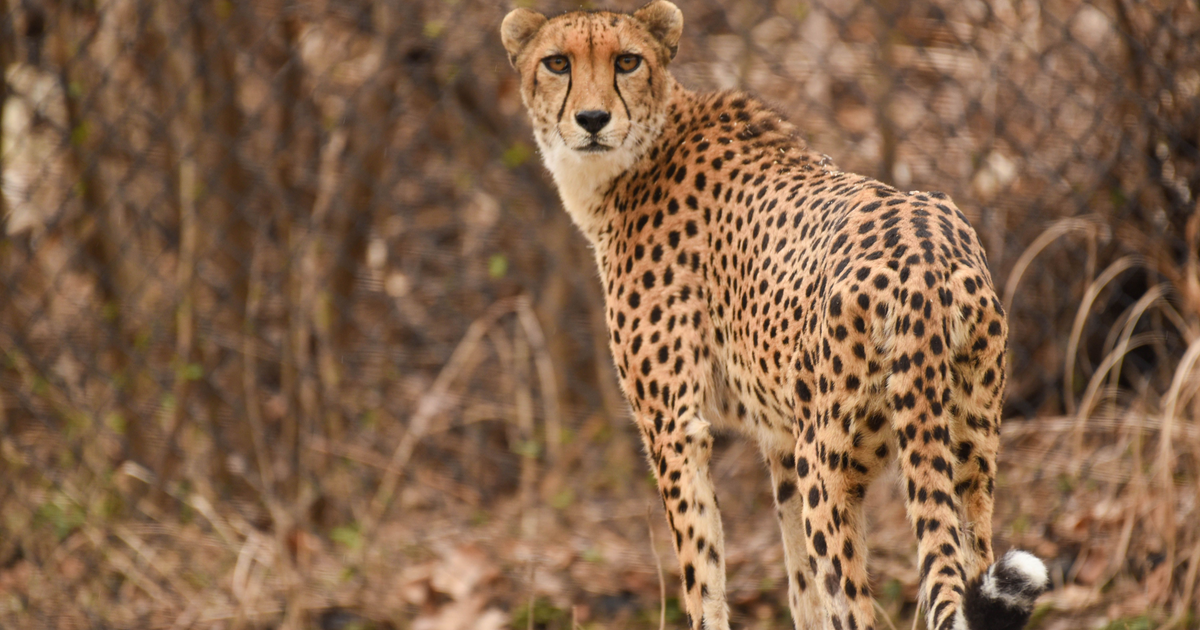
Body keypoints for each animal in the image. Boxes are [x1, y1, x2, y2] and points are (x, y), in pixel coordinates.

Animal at [500, 3, 1049, 629]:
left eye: (627, 61)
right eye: (556, 63)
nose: (592, 119)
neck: (637, 156)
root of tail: (926, 258)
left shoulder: (677, 428)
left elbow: (704, 572)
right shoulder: (782, 438)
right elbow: (798, 585)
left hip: (830, 467)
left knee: (858, 605)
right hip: (968, 452)